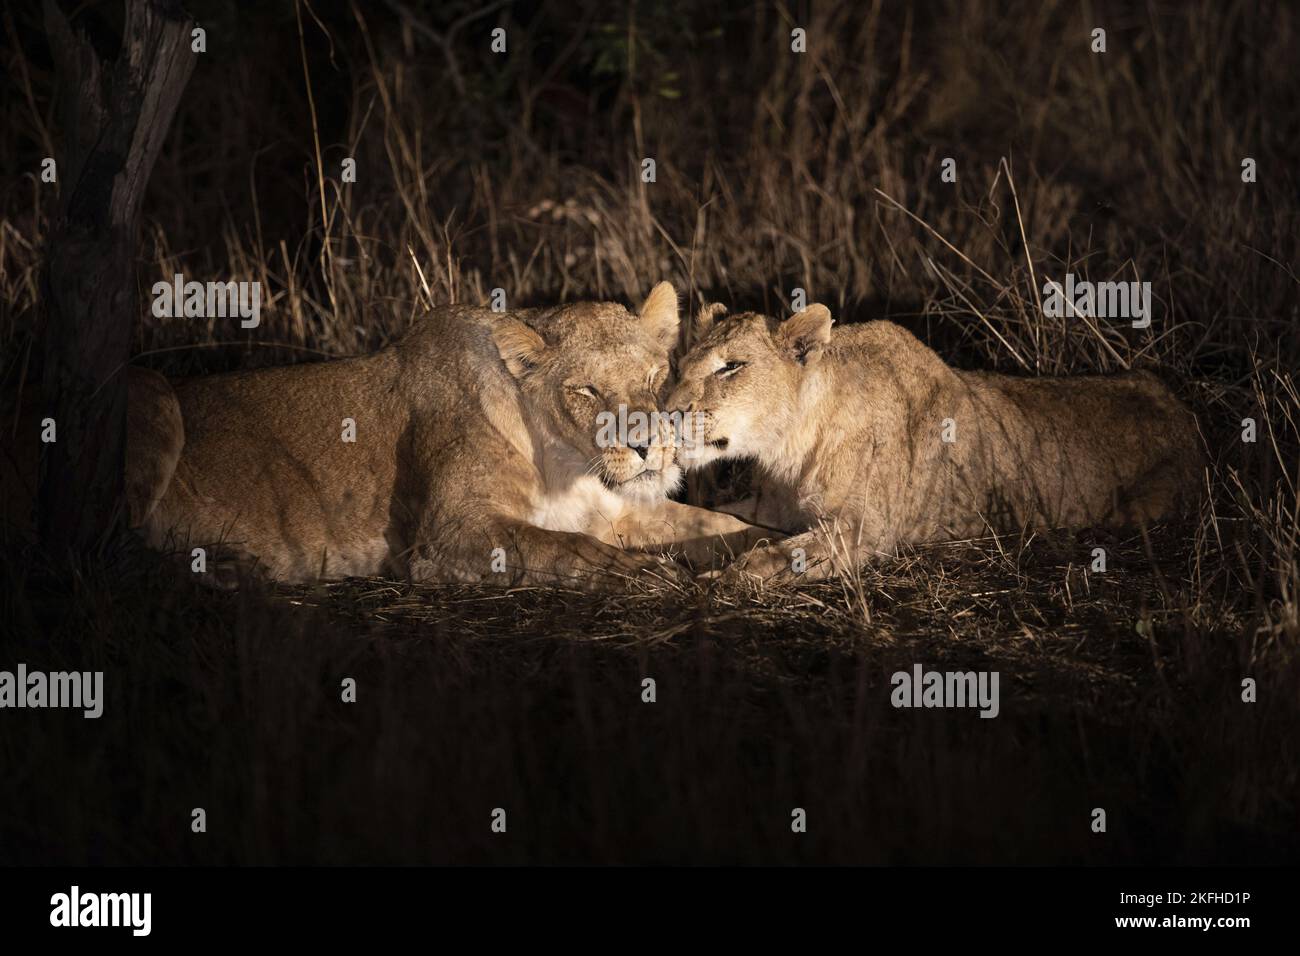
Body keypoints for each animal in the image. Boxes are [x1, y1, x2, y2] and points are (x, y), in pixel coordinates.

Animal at [6, 284, 771, 588]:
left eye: (655, 376)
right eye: (585, 391)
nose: (650, 445)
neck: (569, 463)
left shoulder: (621, 509)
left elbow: (719, 525)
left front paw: (778, 550)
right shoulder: (448, 535)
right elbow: (563, 547)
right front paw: (640, 574)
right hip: (148, 393)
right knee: (93, 556)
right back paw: (226, 568)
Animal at [666, 303, 1205, 583]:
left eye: (732, 366)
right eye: (682, 365)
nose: (667, 411)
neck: (789, 448)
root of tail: (1179, 406)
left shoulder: (866, 531)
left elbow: (774, 556)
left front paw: (721, 579)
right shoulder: (774, 506)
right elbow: (720, 521)